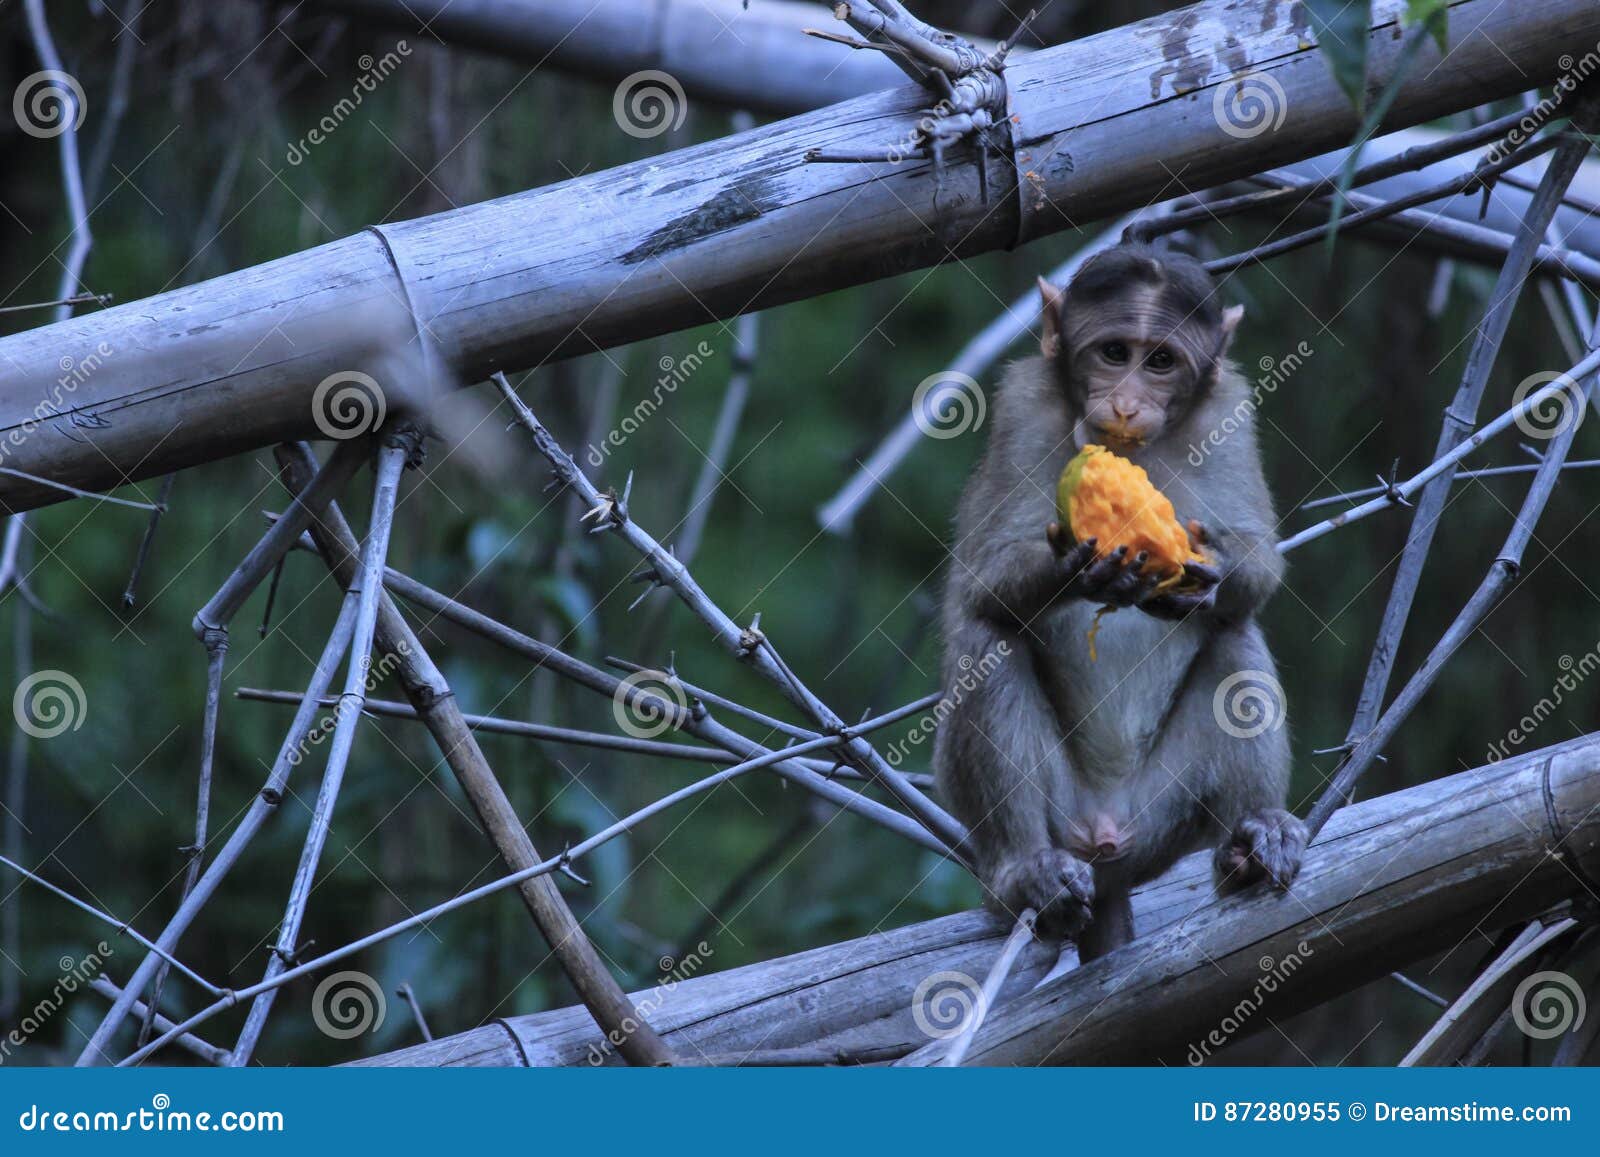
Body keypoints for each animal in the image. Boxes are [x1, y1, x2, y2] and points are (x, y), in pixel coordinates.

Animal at [933, 243, 1305, 961]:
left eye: (1160, 360)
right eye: (1112, 352)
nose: (1127, 405)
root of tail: (1105, 836)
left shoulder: (1230, 409)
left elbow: (1261, 566)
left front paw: (1216, 570)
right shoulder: (1023, 405)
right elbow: (980, 583)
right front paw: (1077, 568)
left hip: (1163, 818)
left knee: (1234, 634)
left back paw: (1252, 839)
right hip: (1060, 815)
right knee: (986, 638)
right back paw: (1026, 871)